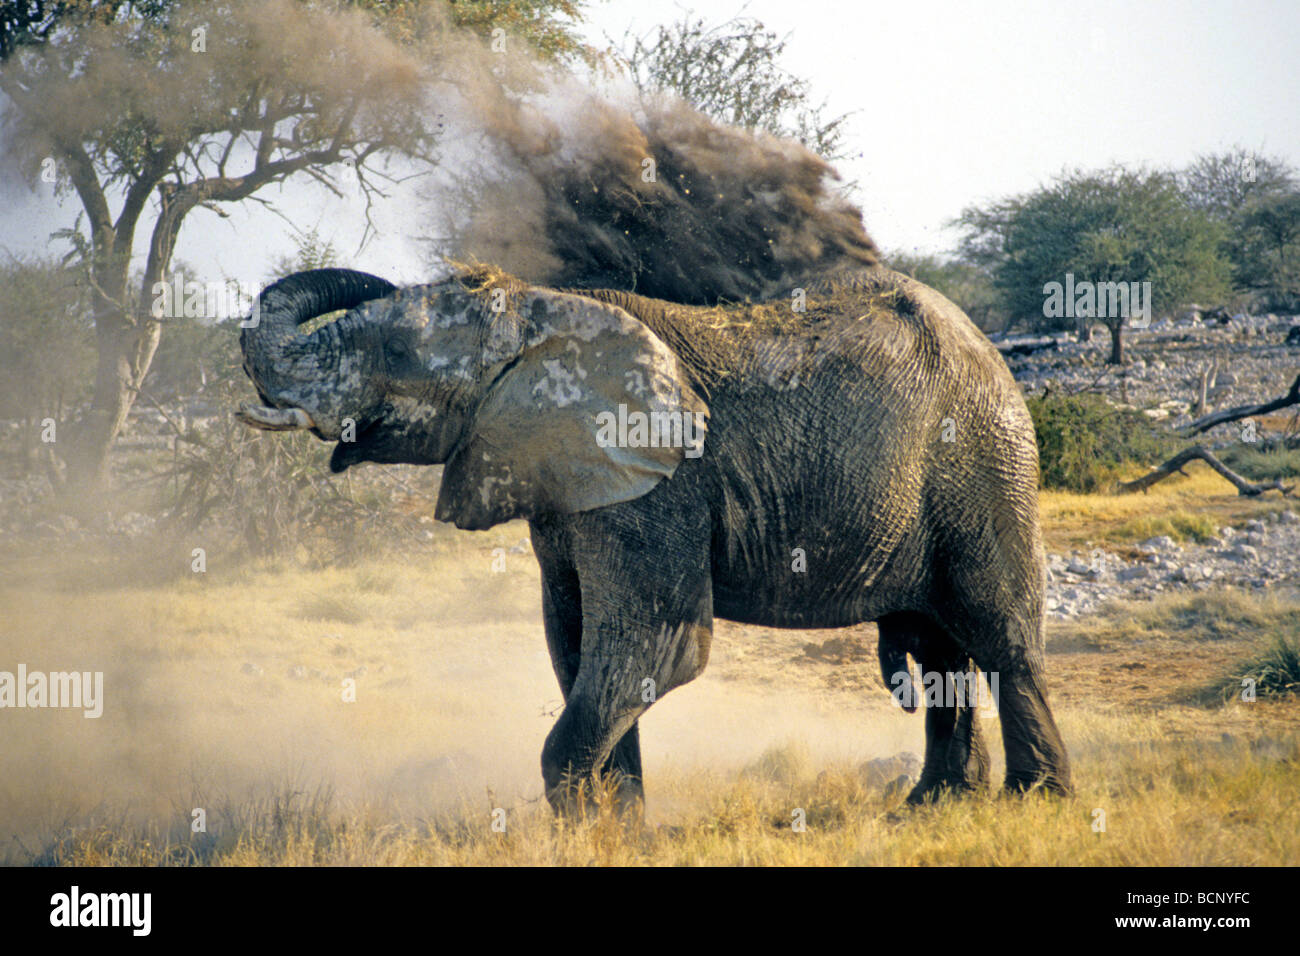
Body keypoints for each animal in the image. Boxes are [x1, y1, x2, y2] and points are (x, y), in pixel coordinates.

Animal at [236, 263, 1073, 815]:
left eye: (393, 356)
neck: (545, 315)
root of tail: (986, 344)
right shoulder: (573, 489)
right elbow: (574, 643)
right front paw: (621, 824)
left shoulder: (658, 490)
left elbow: (654, 644)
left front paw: (584, 829)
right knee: (942, 650)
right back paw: (934, 807)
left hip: (983, 465)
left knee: (999, 636)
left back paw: (1036, 802)